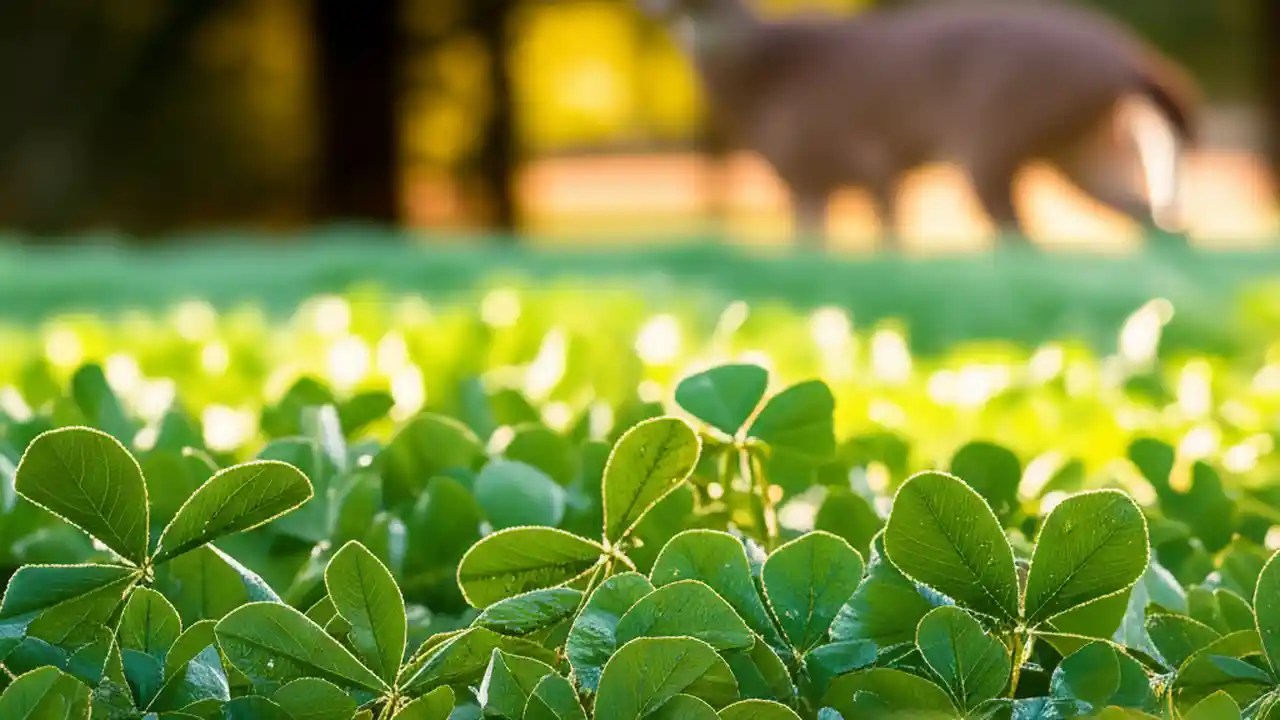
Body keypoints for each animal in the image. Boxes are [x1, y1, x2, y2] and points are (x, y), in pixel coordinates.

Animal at [639, 0, 1198, 250]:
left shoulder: (870, 158)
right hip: (1078, 146)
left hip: (997, 136)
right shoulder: (806, 184)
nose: (706, 28)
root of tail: (1127, 57)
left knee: (1019, 231)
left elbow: (890, 236)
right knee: (1150, 217)